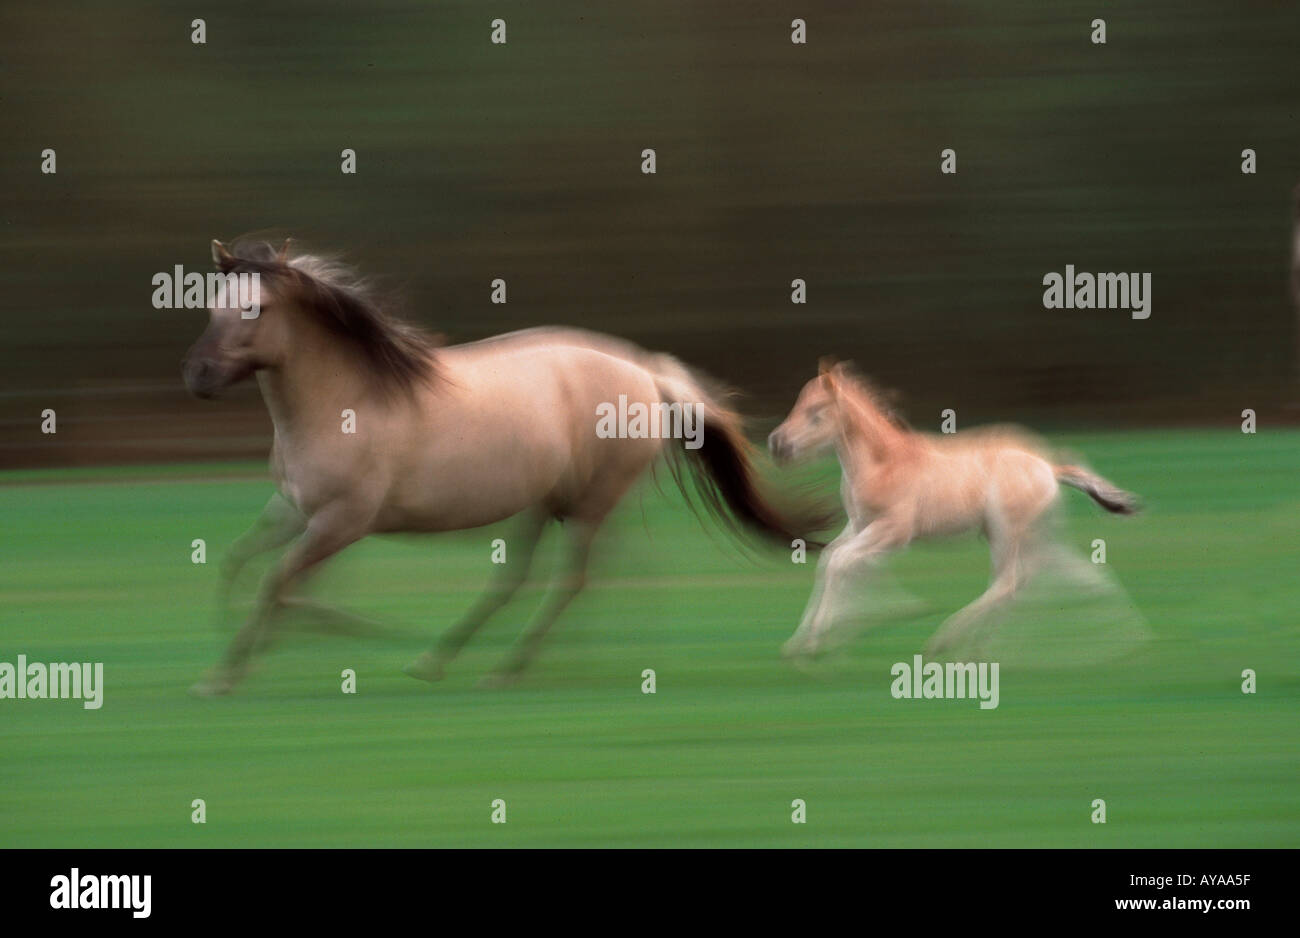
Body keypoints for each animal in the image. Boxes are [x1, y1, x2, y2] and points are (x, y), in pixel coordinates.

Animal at [182, 239, 824, 695]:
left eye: (254, 308)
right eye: (211, 306)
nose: (198, 375)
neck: (345, 401)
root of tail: (647, 373)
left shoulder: (343, 520)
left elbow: (277, 581)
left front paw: (227, 674)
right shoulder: (295, 509)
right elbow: (242, 564)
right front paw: (247, 652)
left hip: (586, 505)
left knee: (569, 581)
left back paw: (507, 667)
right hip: (549, 502)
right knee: (530, 579)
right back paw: (460, 660)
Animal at [767, 360, 1140, 659]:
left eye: (815, 412)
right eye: (798, 404)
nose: (777, 444)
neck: (882, 464)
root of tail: (1049, 467)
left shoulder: (893, 532)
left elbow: (840, 563)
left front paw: (818, 641)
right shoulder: (859, 526)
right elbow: (832, 559)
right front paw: (805, 640)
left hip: (1006, 530)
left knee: (1010, 582)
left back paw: (946, 641)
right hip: (1030, 533)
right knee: (1052, 577)